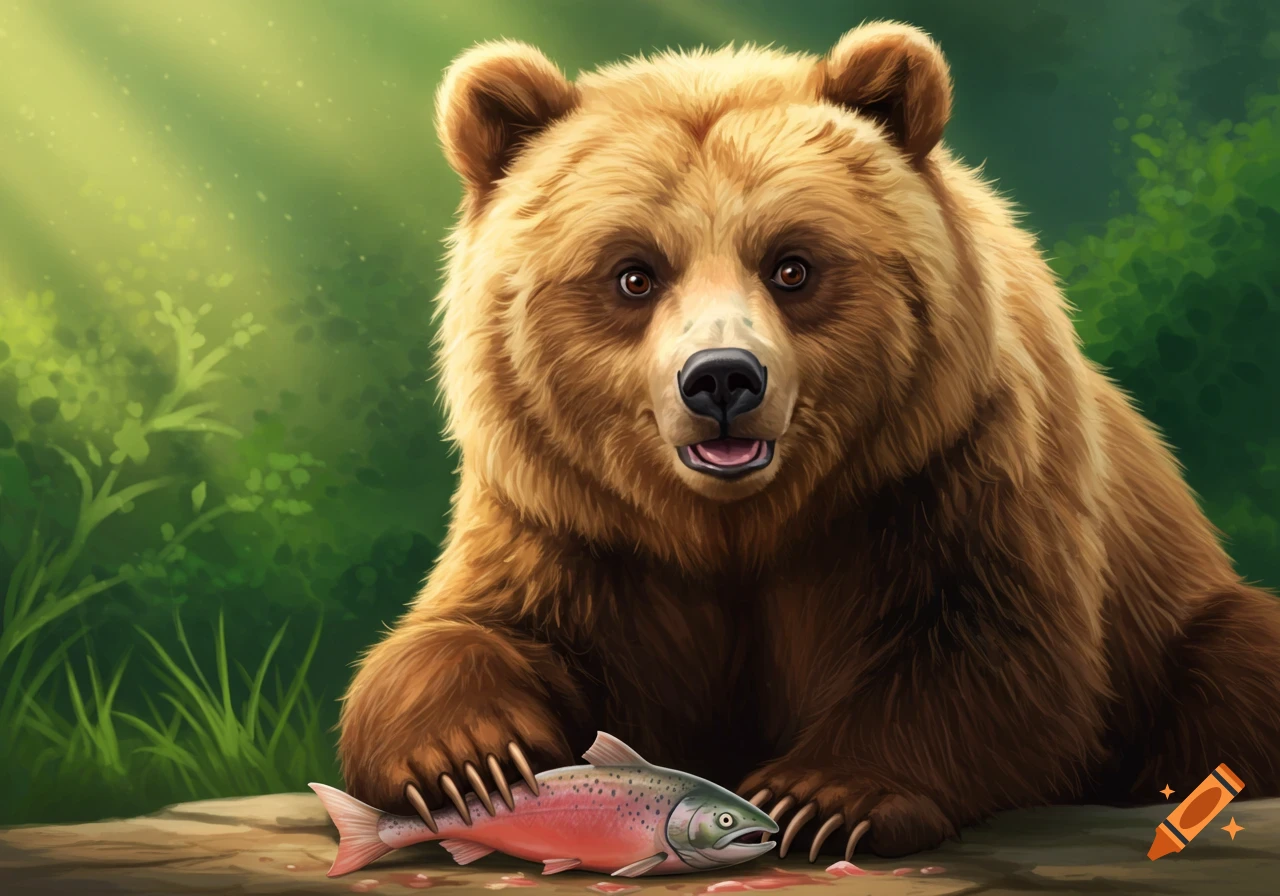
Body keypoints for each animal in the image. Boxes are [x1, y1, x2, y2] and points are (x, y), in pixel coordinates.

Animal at [338, 22, 1280, 861]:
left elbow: (991, 648)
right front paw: (471, 757)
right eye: (634, 273)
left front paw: (825, 798)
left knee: (1239, 661)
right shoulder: (573, 521)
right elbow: (468, 627)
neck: (738, 524)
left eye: (791, 264)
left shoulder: (949, 473)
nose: (722, 379)